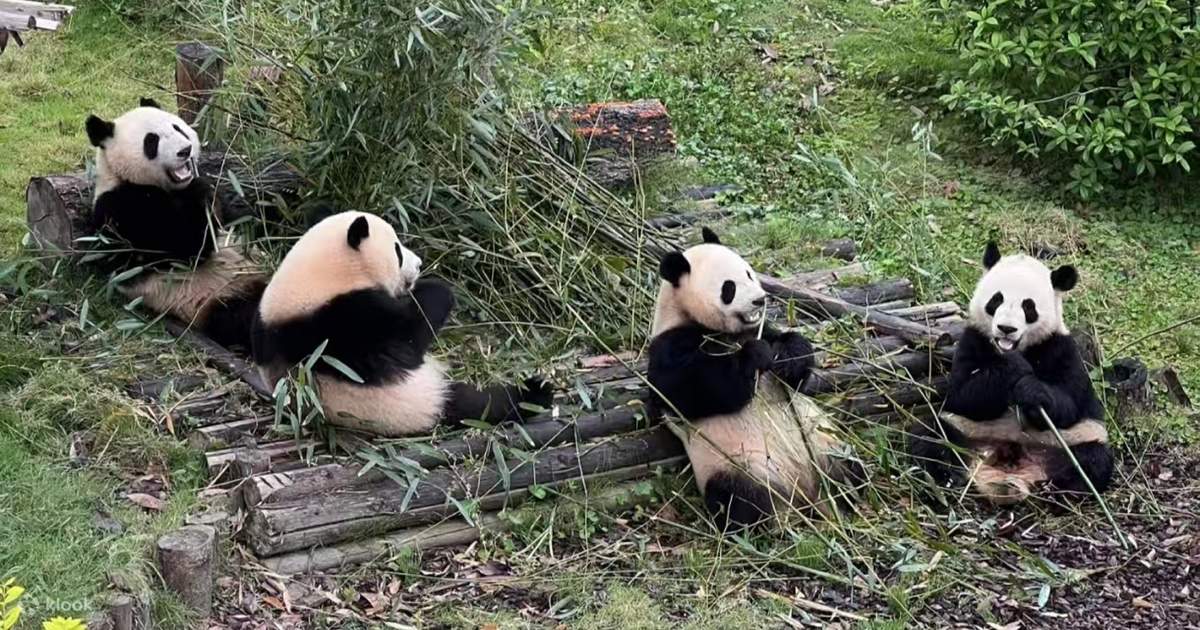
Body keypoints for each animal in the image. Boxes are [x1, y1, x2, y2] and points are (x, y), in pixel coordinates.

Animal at [85, 98, 265, 349]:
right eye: (151, 141)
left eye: (177, 128)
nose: (185, 150)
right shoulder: (121, 212)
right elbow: (186, 247)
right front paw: (200, 194)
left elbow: (235, 220)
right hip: (216, 298)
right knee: (252, 318)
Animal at [251, 211, 554, 437]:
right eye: (397, 251)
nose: (419, 264)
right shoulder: (340, 324)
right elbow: (404, 338)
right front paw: (437, 291)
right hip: (421, 401)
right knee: (482, 404)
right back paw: (536, 393)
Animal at [646, 227, 859, 530]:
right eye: (729, 288)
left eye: (748, 273)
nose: (760, 299)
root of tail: (803, 492)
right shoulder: (669, 345)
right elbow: (693, 389)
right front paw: (755, 355)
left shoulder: (760, 328)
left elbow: (794, 365)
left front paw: (786, 358)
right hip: (739, 465)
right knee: (739, 500)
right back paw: (775, 526)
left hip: (825, 441)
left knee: (848, 464)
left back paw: (849, 498)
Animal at [907, 242, 1113, 504]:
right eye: (996, 299)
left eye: (1029, 306)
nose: (1006, 328)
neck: (1016, 348)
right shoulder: (973, 340)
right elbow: (963, 395)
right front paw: (1013, 367)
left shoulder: (1061, 347)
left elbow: (1069, 403)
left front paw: (1031, 390)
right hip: (963, 431)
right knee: (930, 437)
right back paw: (946, 478)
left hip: (1072, 441)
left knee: (1092, 460)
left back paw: (1059, 490)